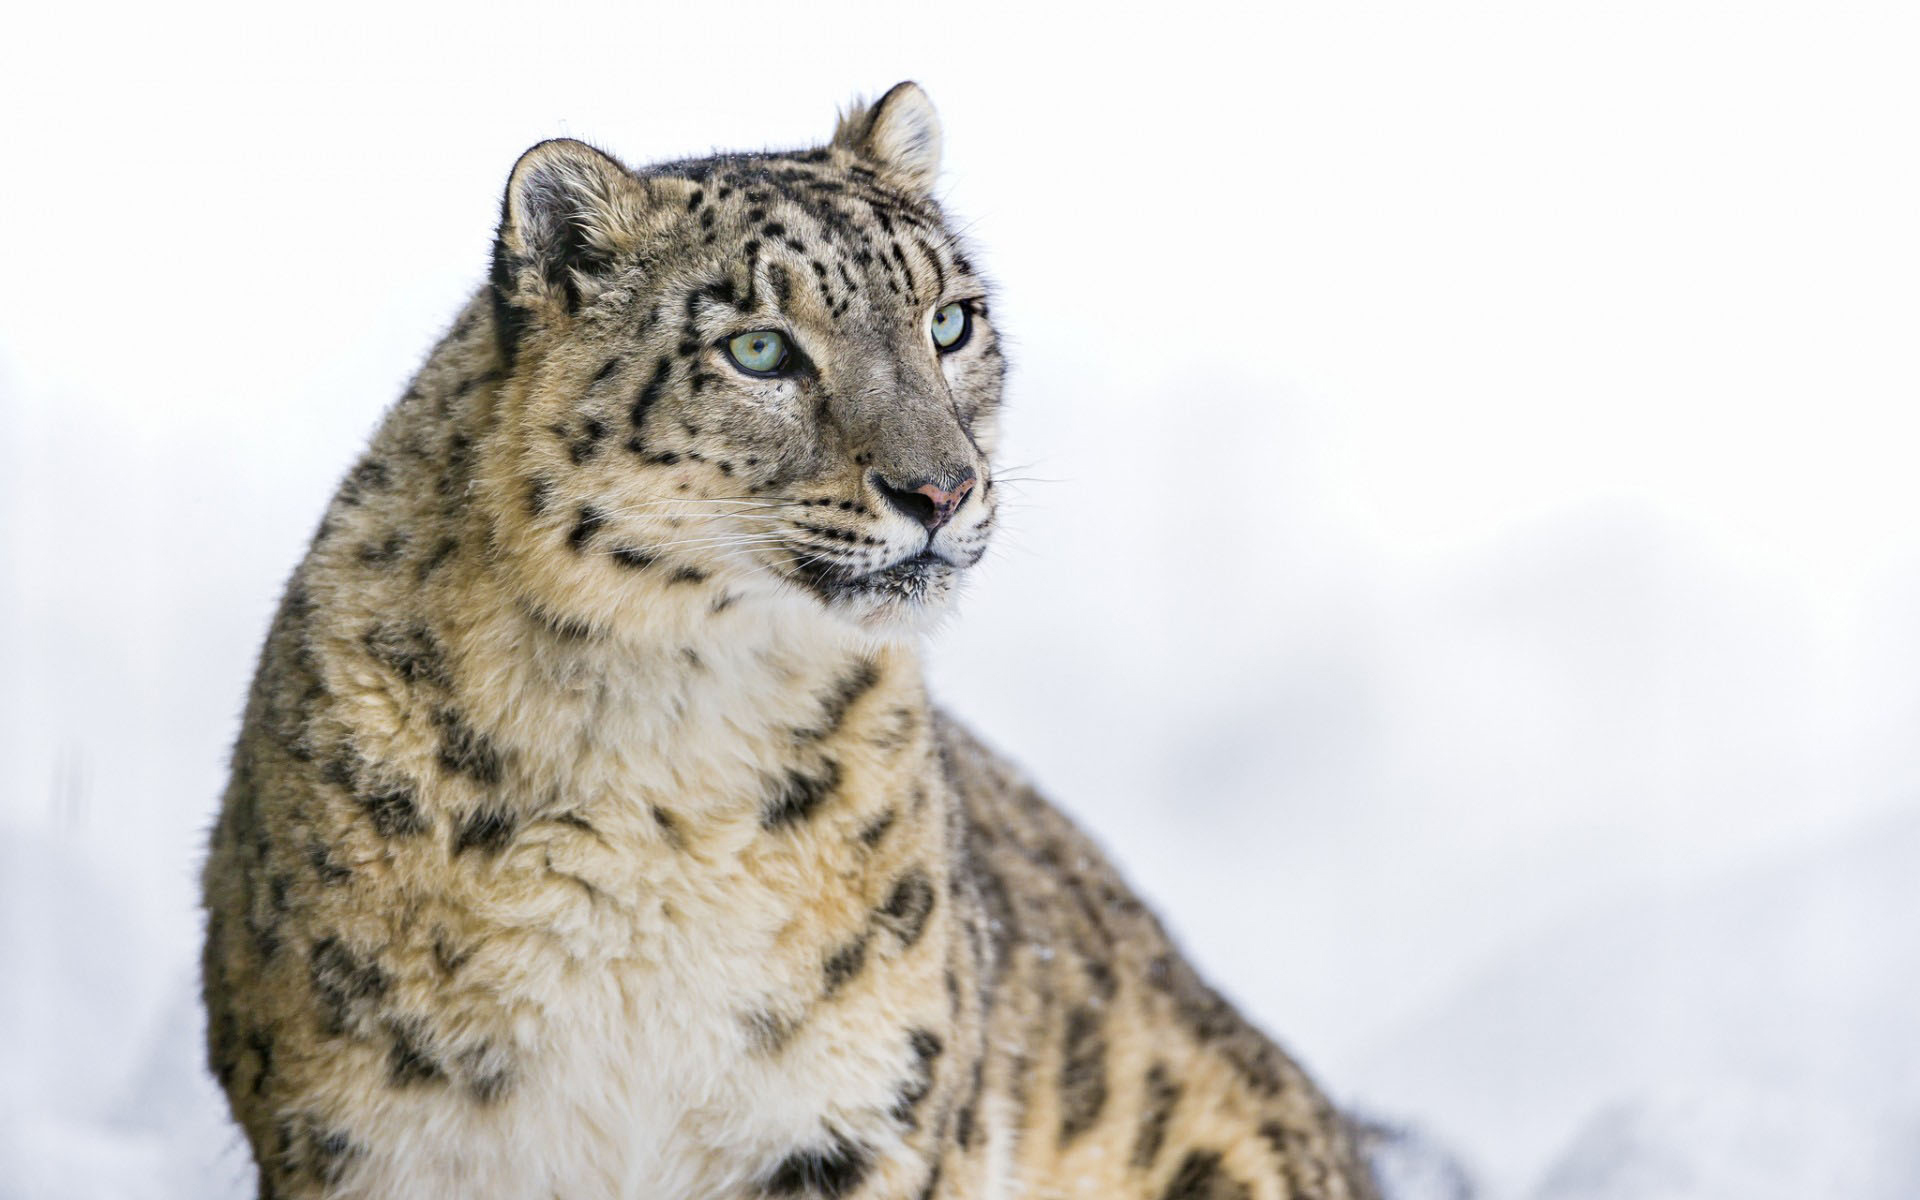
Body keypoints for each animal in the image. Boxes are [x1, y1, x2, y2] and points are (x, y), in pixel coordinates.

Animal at [200, 81, 1381, 1200]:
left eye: (949, 322)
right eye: (759, 348)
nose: (941, 489)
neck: (660, 748)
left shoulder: (852, 1118)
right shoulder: (373, 1135)